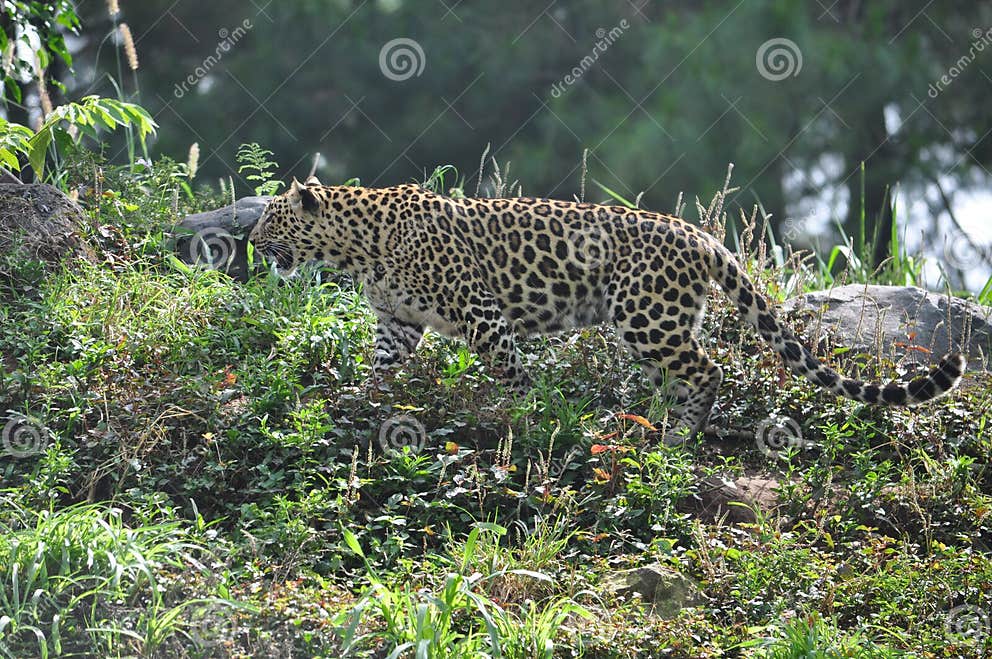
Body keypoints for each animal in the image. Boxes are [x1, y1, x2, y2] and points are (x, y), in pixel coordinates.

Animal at [248, 177, 965, 438]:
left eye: (273, 217)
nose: (251, 242)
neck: (359, 247)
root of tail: (701, 235)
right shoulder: (397, 323)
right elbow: (380, 367)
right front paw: (359, 400)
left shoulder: (481, 311)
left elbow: (509, 369)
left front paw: (526, 414)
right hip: (660, 324)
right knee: (684, 375)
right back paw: (658, 431)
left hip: (646, 316)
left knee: (709, 369)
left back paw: (679, 439)